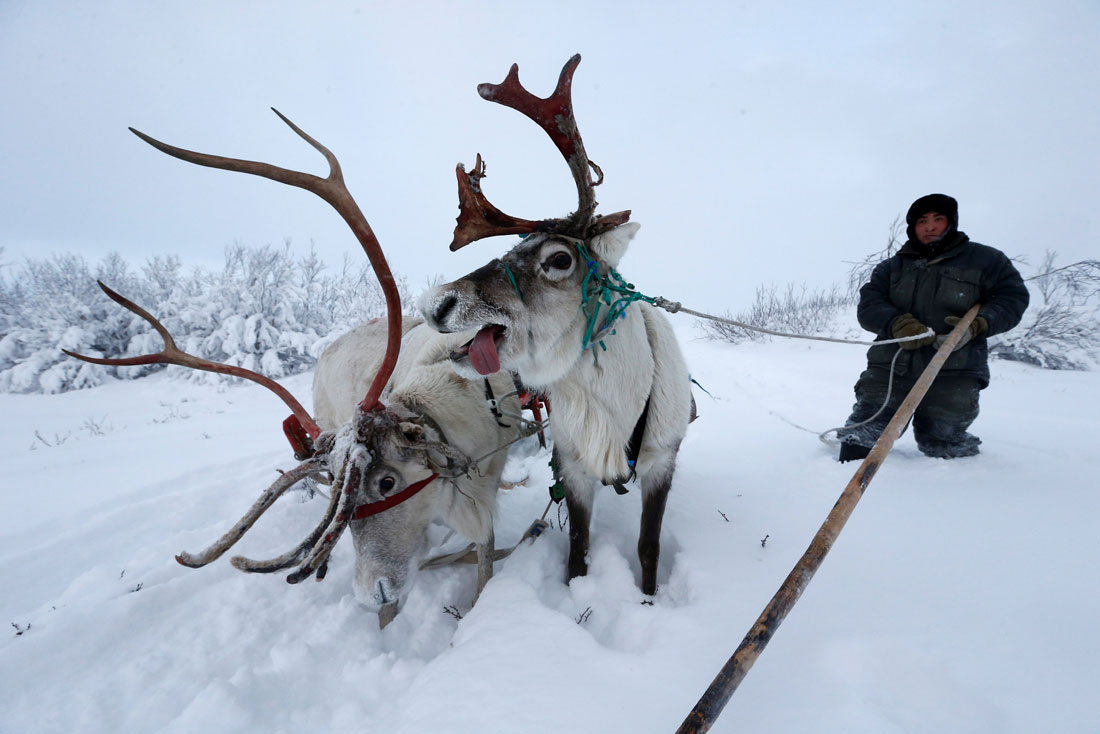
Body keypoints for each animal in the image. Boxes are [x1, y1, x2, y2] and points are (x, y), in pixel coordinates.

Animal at [420, 55, 694, 597]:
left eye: (560, 258)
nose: (435, 303)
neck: (616, 409)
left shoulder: (661, 462)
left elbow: (648, 546)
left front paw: (649, 598)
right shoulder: (573, 467)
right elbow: (578, 549)